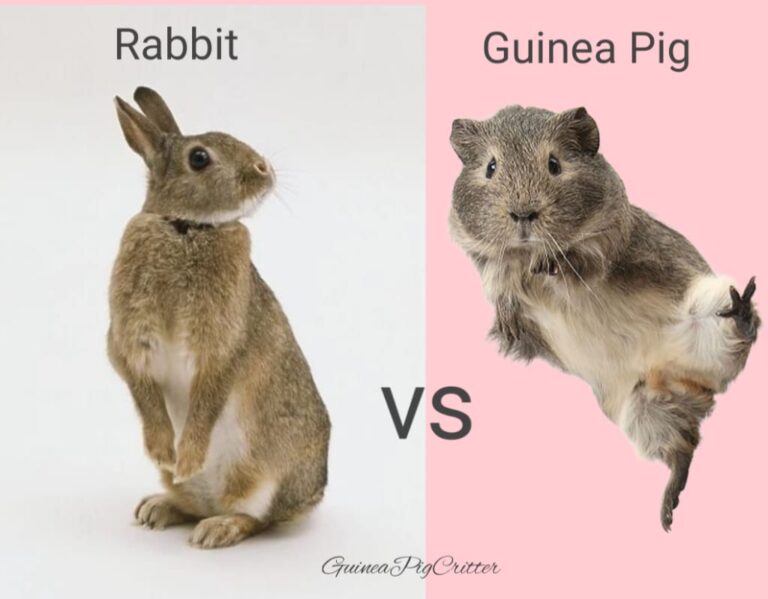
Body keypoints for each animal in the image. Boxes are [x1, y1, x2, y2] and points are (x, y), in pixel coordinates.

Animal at [107, 86, 330, 549]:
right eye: (199, 158)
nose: (265, 168)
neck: (186, 227)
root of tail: (312, 494)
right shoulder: (127, 342)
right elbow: (144, 393)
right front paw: (164, 452)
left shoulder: (220, 347)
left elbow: (208, 398)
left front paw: (188, 455)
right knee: (194, 504)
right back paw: (158, 506)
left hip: (261, 478)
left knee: (256, 518)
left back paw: (216, 529)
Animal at [449, 105, 759, 531]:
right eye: (490, 167)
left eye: (555, 164)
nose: (523, 214)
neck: (524, 253)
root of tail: (680, 378)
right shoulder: (487, 263)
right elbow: (501, 282)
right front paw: (508, 325)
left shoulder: (609, 240)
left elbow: (581, 258)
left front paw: (548, 264)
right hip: (644, 412)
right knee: (683, 451)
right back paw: (668, 513)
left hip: (707, 310)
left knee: (741, 332)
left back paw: (742, 305)